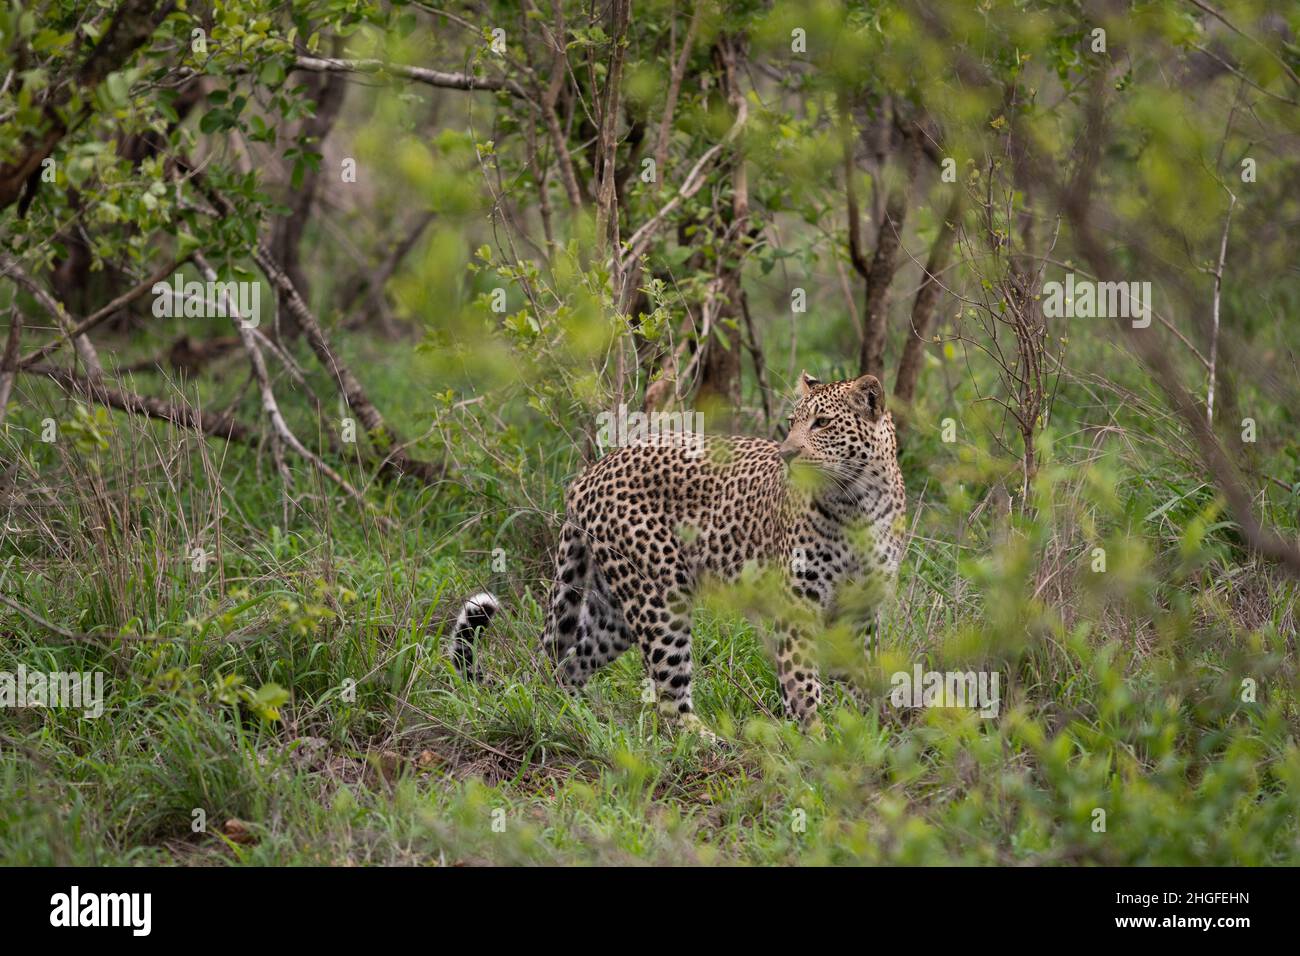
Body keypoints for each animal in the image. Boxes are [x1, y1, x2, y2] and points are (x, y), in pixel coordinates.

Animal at [448, 371, 906, 735]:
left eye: (822, 422)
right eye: (793, 423)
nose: (787, 454)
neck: (855, 503)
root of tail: (591, 471)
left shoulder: (860, 611)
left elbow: (860, 681)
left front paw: (863, 738)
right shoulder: (796, 607)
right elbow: (803, 684)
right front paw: (815, 744)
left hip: (612, 611)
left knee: (569, 664)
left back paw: (575, 721)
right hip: (659, 594)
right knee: (668, 697)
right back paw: (711, 743)